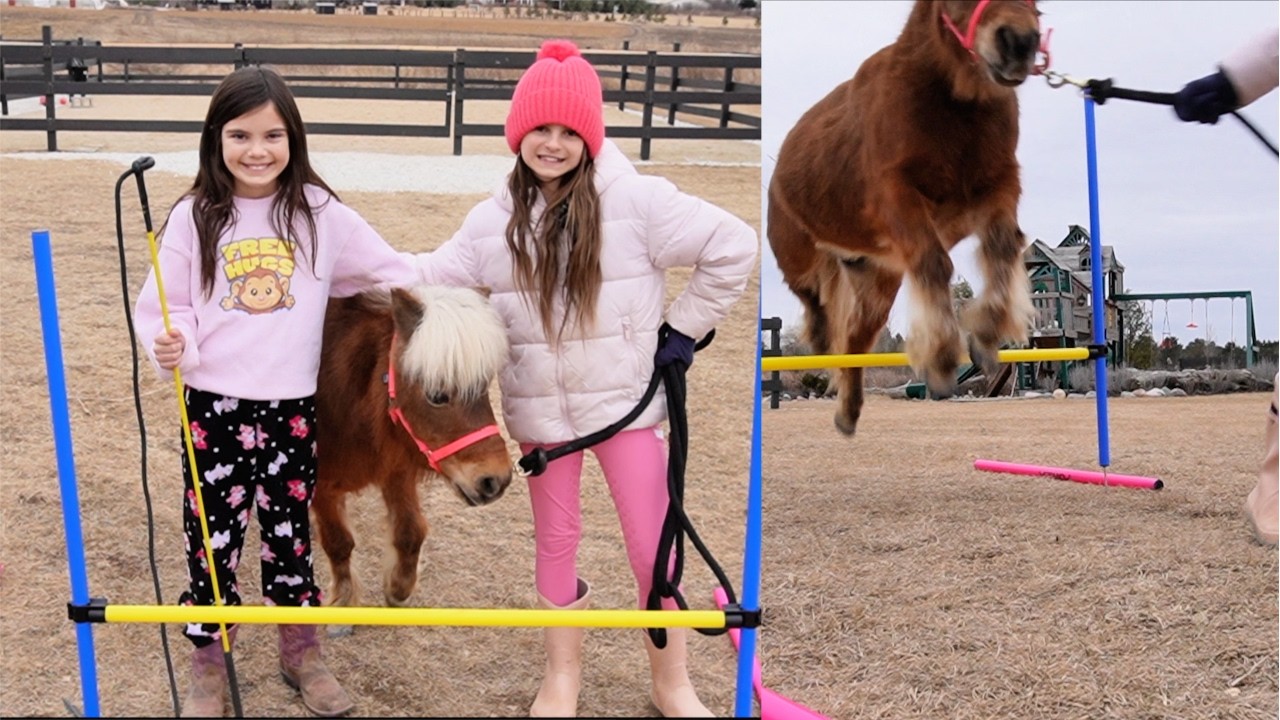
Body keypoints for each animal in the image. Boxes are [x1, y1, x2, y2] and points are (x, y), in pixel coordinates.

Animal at [313, 284, 512, 634]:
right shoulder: (321, 487)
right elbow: (339, 543)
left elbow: (410, 533)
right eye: (436, 396)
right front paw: (343, 604)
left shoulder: (396, 470)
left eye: (484, 387)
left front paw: (398, 588)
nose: (496, 481)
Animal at [768, 0, 1044, 436]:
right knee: (813, 301)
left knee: (855, 342)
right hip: (797, 255)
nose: (1018, 42)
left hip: (878, 284)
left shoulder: (999, 187)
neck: (950, 105)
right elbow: (935, 263)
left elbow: (1001, 250)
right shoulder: (897, 198)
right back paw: (820, 338)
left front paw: (984, 337)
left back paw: (848, 414)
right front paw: (943, 358)